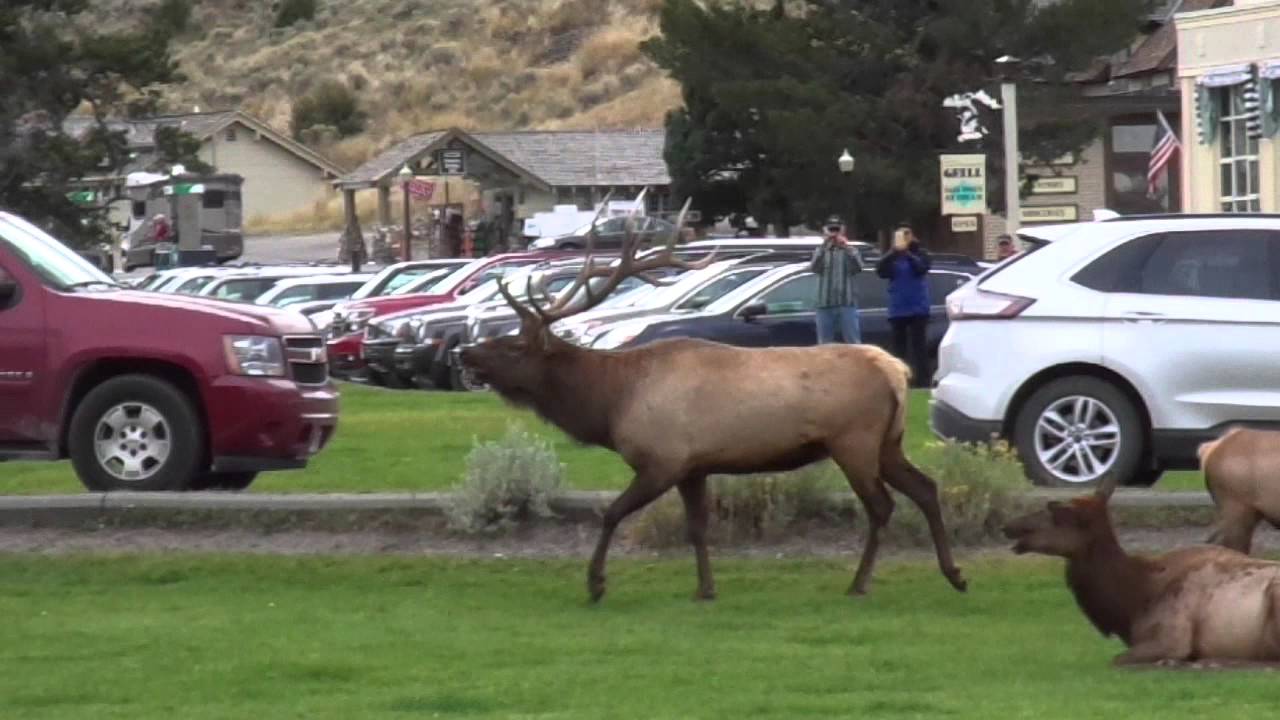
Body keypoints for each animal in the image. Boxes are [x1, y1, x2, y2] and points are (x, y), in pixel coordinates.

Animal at [458, 194, 967, 603]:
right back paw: (954, 573)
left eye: (514, 346)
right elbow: (697, 529)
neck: (611, 402)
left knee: (881, 506)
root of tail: (897, 371)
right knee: (926, 488)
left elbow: (612, 513)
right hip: (888, 442)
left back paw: (860, 583)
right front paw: (705, 587)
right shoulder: (693, 467)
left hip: (853, 441)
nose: (466, 351)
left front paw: (596, 583)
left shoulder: (662, 459)